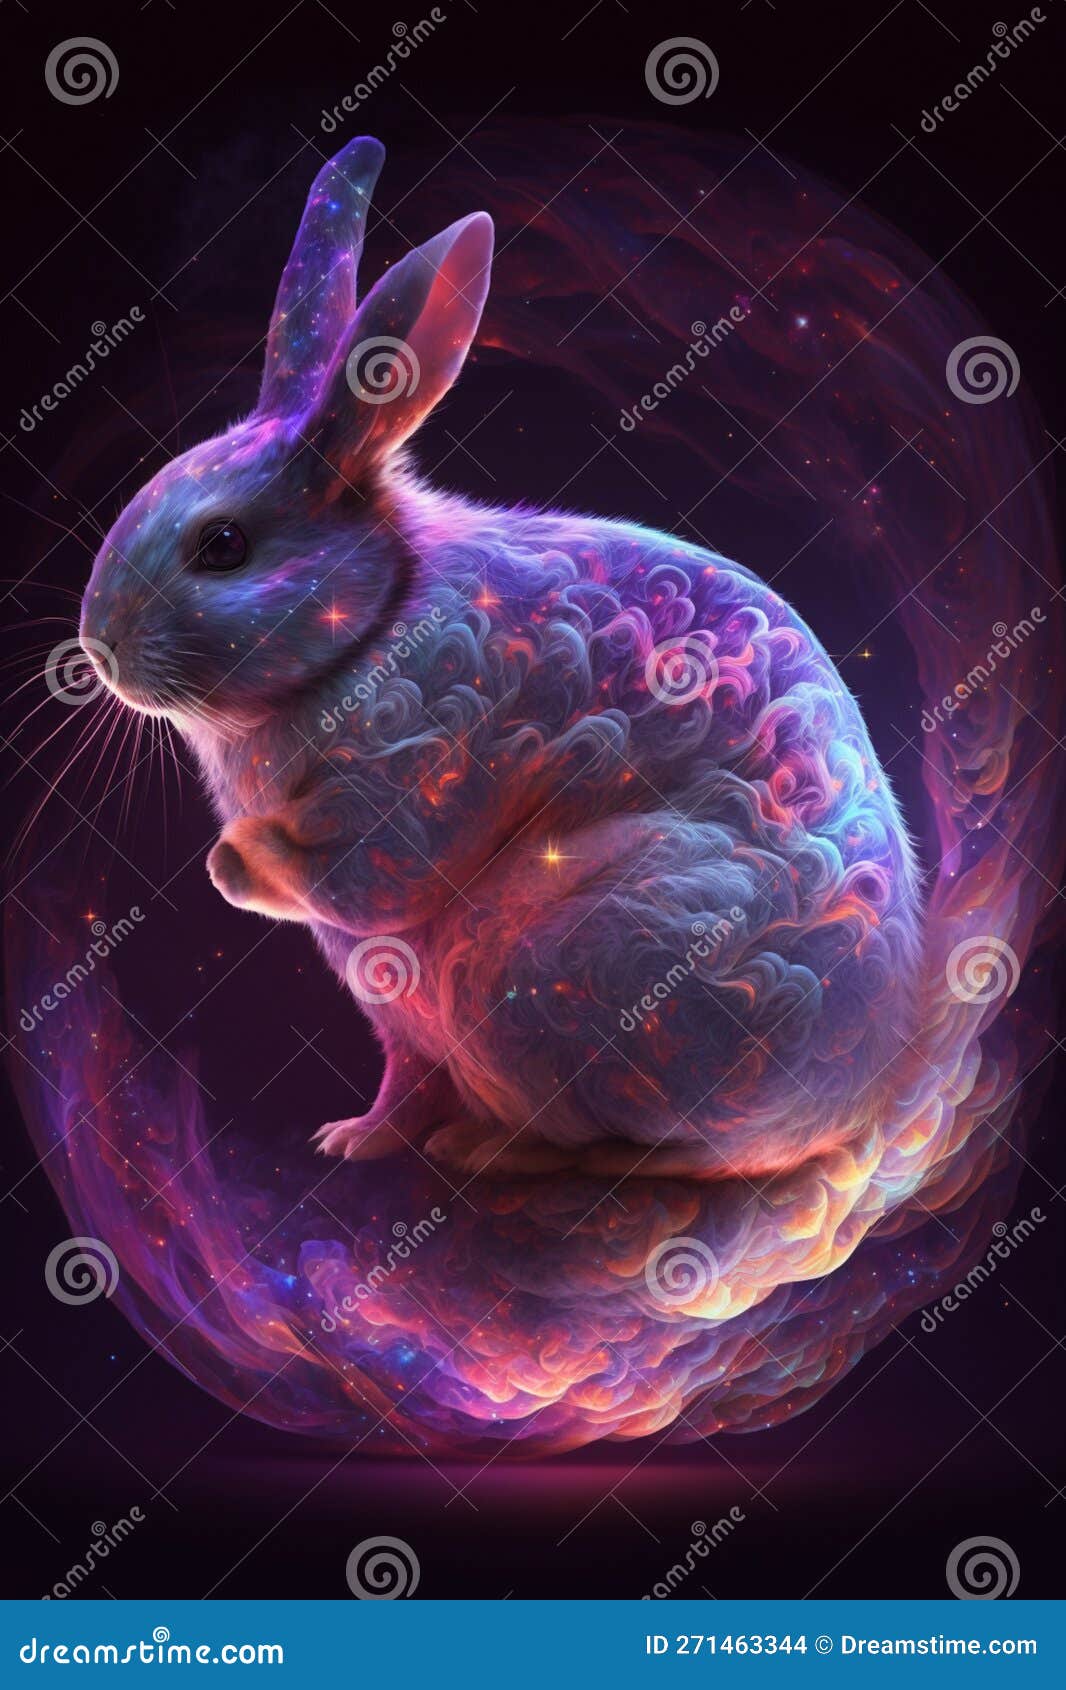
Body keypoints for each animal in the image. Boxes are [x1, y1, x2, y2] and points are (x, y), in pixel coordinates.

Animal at [79, 135, 923, 1182]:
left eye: (223, 547)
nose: (98, 648)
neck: (369, 625)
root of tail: (850, 1098)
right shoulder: (397, 1021)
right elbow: (400, 1078)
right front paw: (351, 1141)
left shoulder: (426, 759)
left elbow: (372, 873)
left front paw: (234, 858)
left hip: (579, 951)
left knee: (651, 1149)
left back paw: (496, 1153)